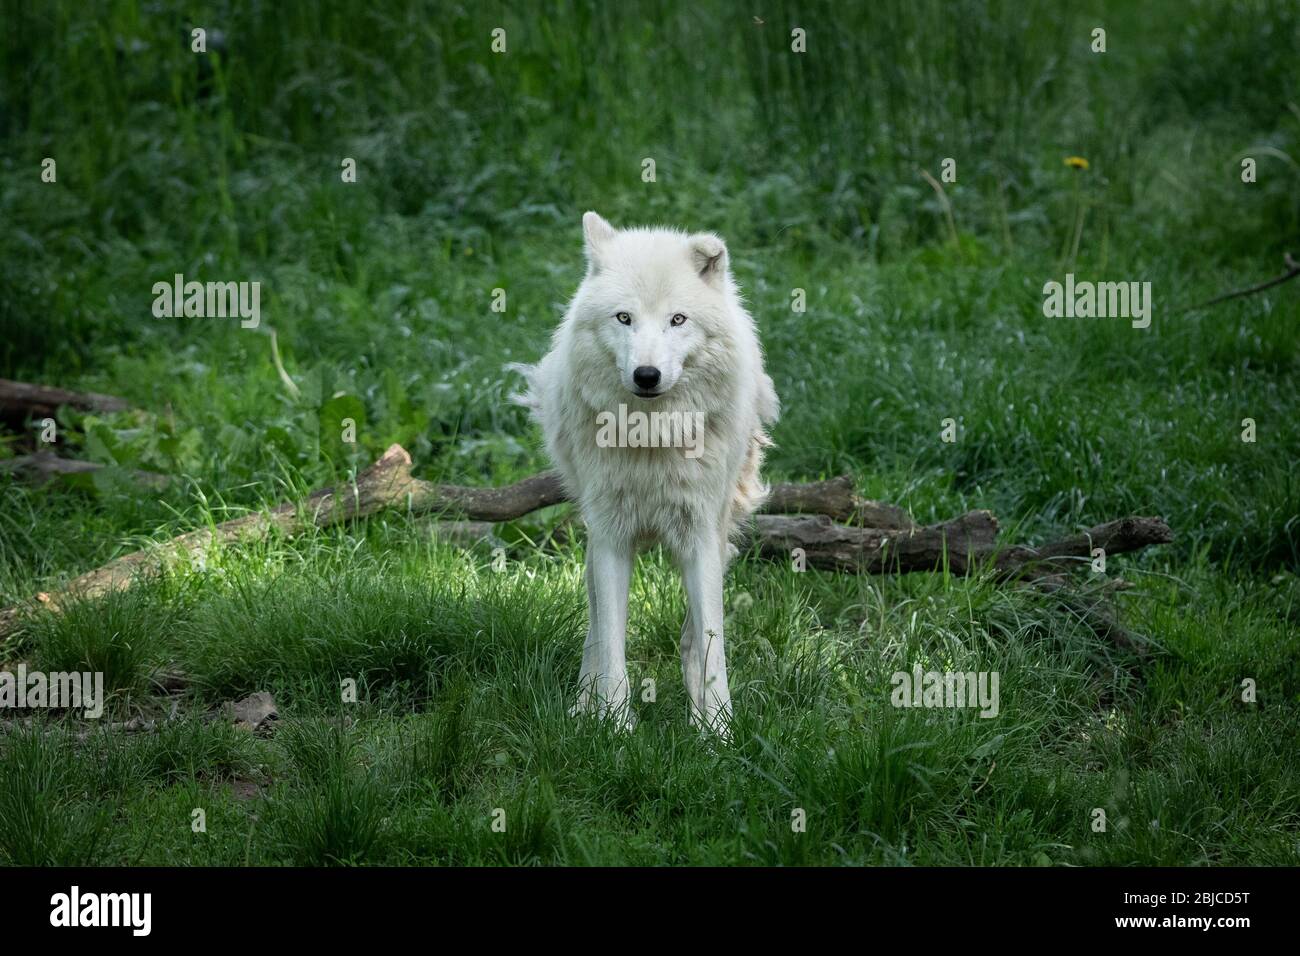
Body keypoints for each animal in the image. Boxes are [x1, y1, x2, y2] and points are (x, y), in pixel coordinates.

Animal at [510, 211, 779, 736]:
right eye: (624, 318)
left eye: (678, 319)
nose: (647, 375)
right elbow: (612, 639)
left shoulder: (701, 535)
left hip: (719, 530)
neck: (652, 437)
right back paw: (582, 706)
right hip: (595, 536)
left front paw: (717, 730)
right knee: (595, 625)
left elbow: (712, 640)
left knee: (694, 633)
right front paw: (614, 726)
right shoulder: (611, 537)